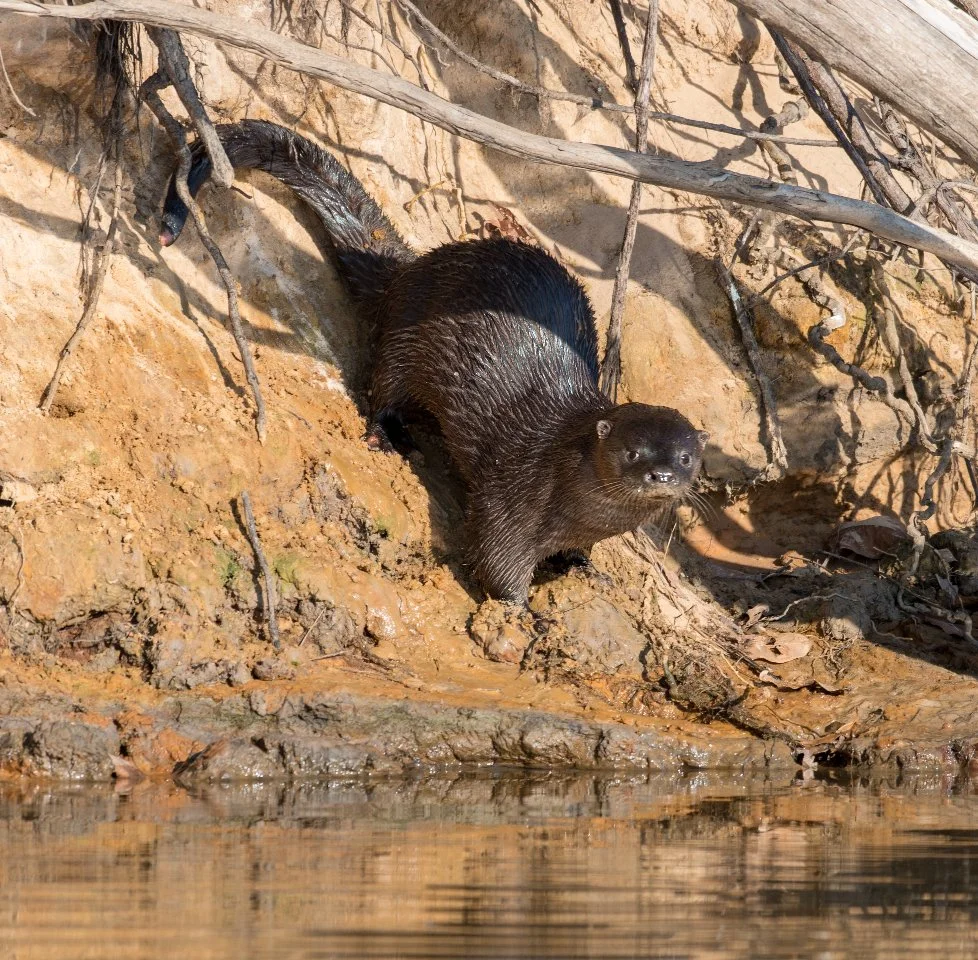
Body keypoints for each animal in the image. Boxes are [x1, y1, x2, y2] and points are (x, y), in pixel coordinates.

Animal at [161, 120, 707, 603]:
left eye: (685, 458)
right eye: (633, 452)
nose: (662, 476)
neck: (580, 507)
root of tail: (412, 270)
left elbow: (573, 551)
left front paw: (580, 564)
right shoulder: (517, 497)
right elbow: (496, 560)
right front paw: (519, 613)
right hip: (406, 340)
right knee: (381, 387)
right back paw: (388, 437)